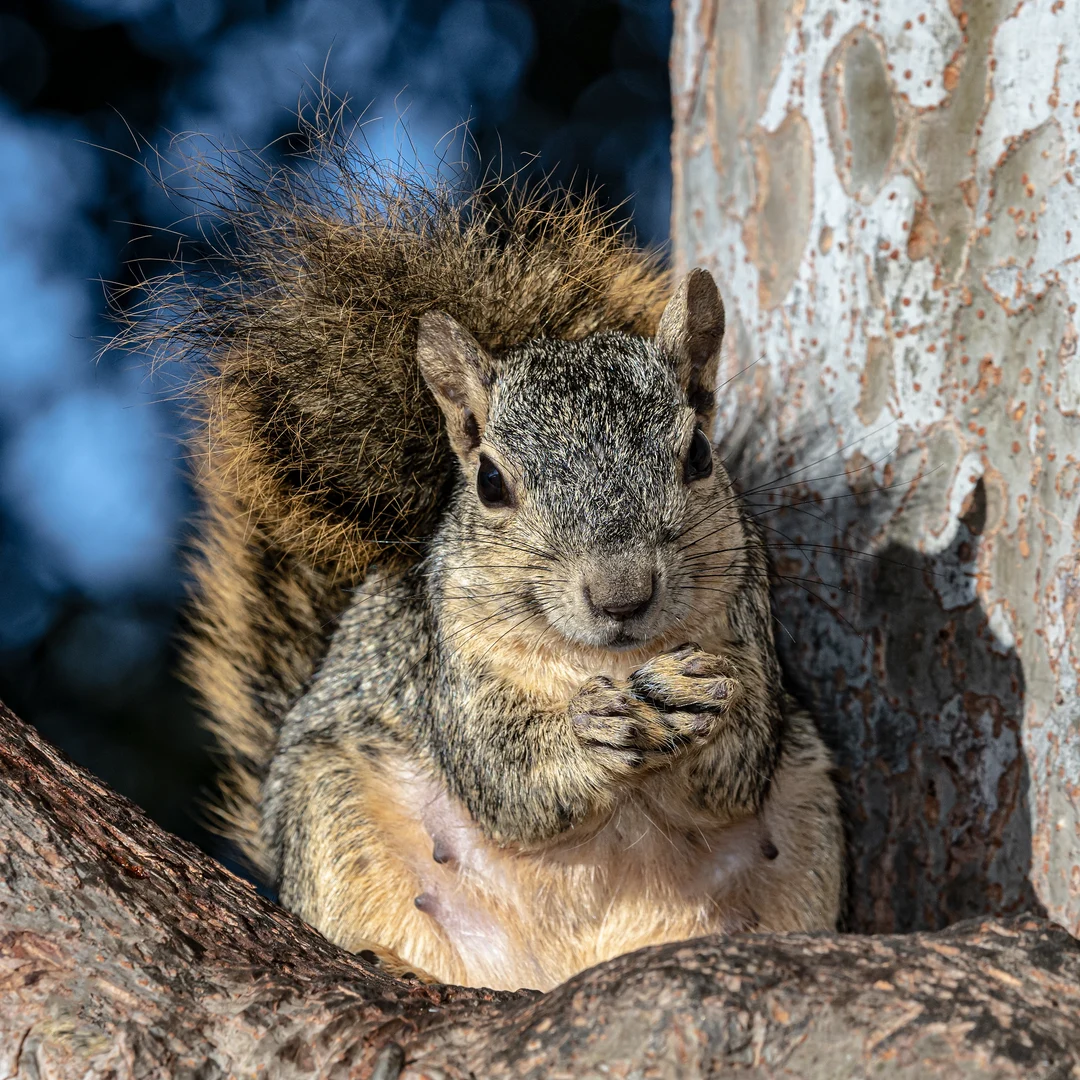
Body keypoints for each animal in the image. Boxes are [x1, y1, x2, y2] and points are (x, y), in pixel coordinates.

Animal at [126, 114, 843, 992]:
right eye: (491, 482)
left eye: (700, 455)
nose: (623, 593)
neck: (605, 662)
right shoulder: (445, 664)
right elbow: (504, 779)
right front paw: (590, 730)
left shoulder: (751, 629)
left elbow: (736, 770)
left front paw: (705, 700)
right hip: (335, 809)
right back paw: (393, 961)